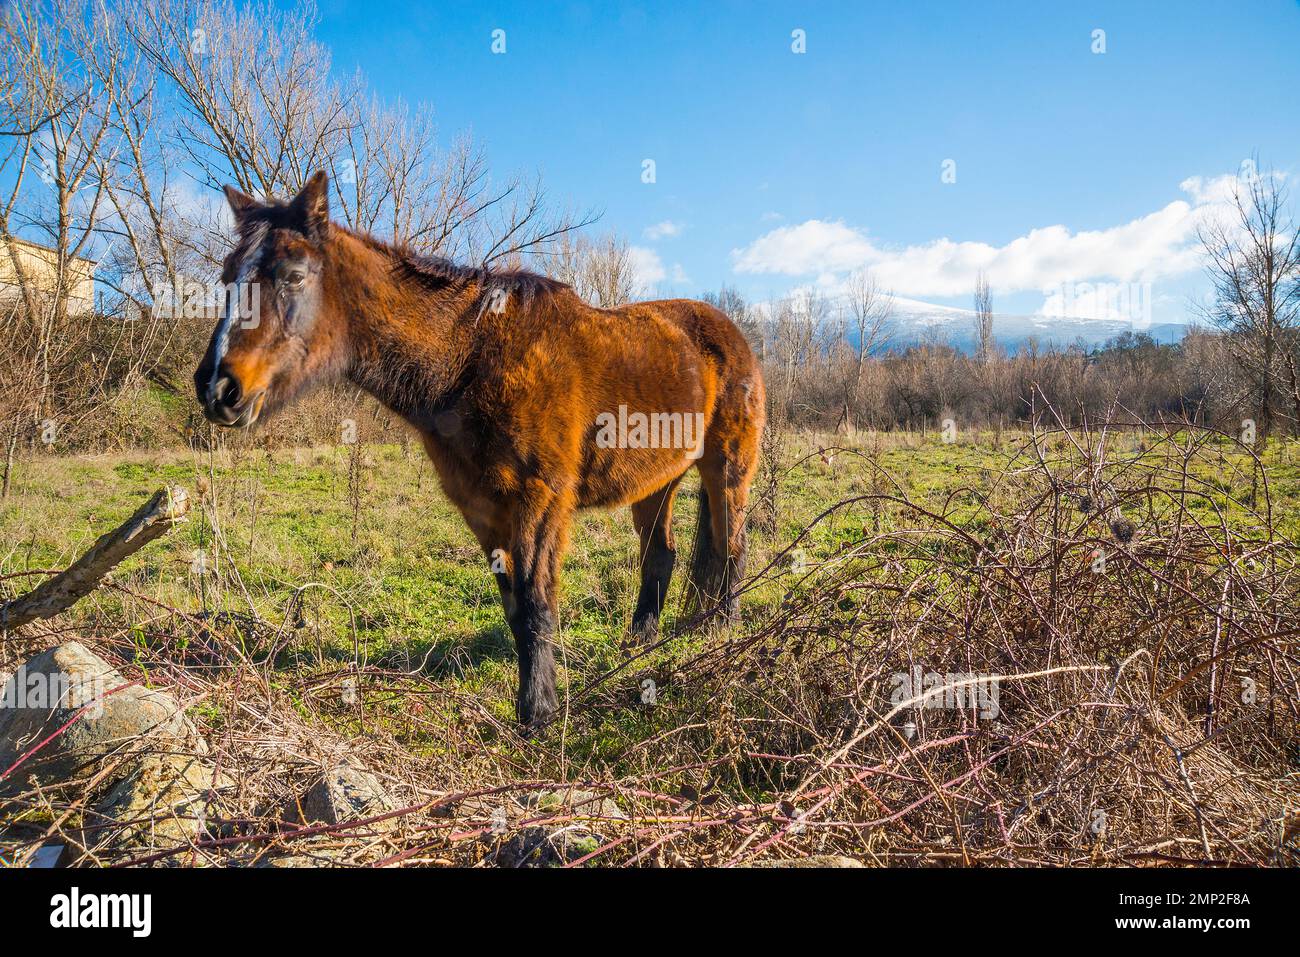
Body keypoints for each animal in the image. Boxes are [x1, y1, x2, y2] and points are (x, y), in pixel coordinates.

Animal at [194, 171, 765, 730]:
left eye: (293, 275)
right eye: (226, 277)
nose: (216, 387)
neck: (472, 360)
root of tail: (730, 333)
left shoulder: (540, 501)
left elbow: (536, 603)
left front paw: (538, 717)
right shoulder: (483, 509)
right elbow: (514, 607)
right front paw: (532, 704)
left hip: (727, 469)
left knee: (731, 548)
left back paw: (725, 633)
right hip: (655, 482)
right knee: (661, 556)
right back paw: (639, 641)